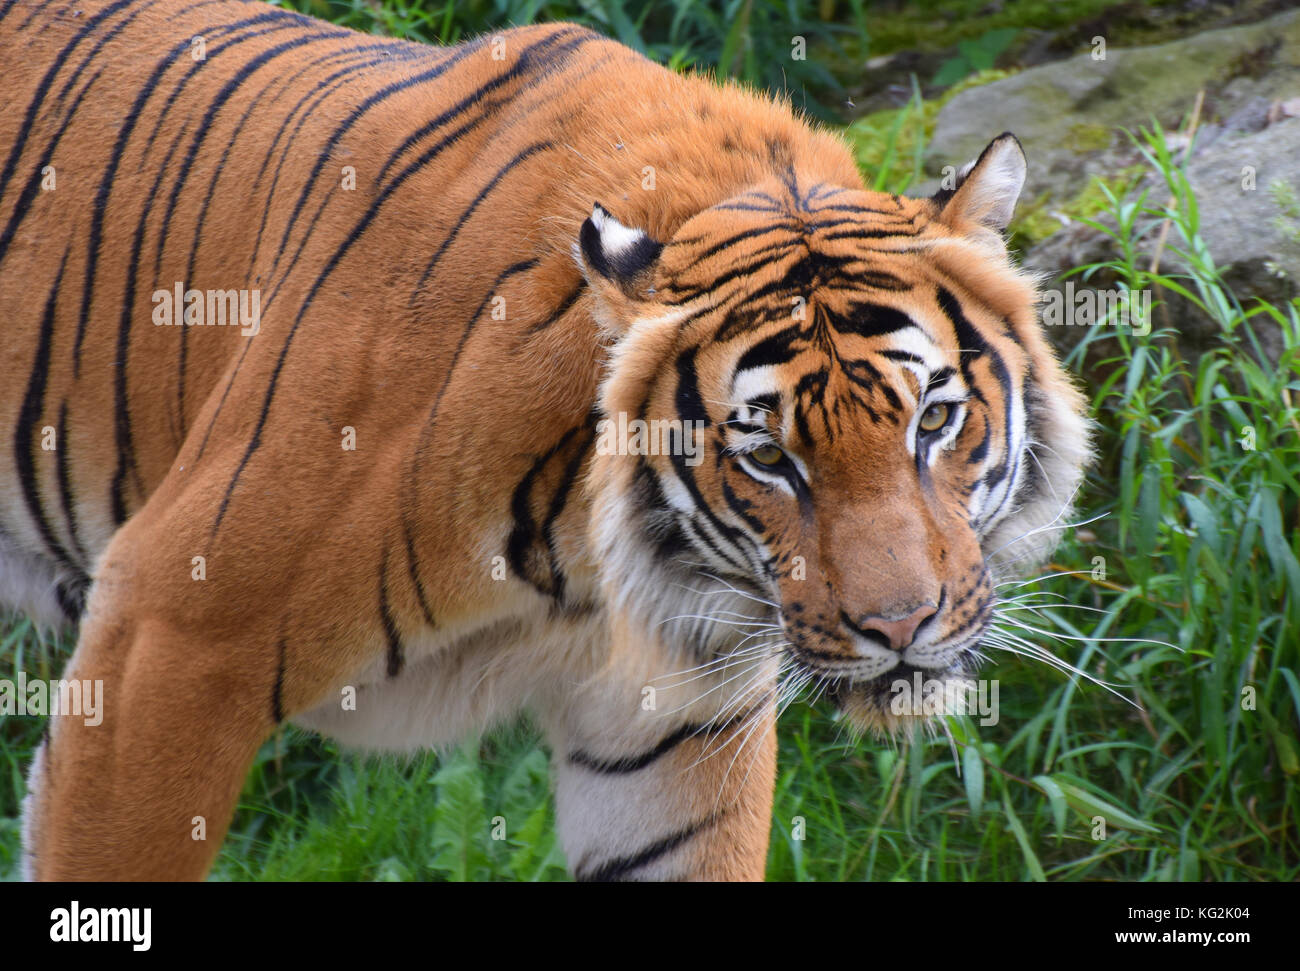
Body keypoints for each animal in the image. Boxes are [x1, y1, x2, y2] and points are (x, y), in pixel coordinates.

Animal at [0, 0, 1091, 881]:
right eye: (769, 457)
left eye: (933, 419)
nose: (901, 628)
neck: (592, 566)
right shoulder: (167, 637)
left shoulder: (671, 726)